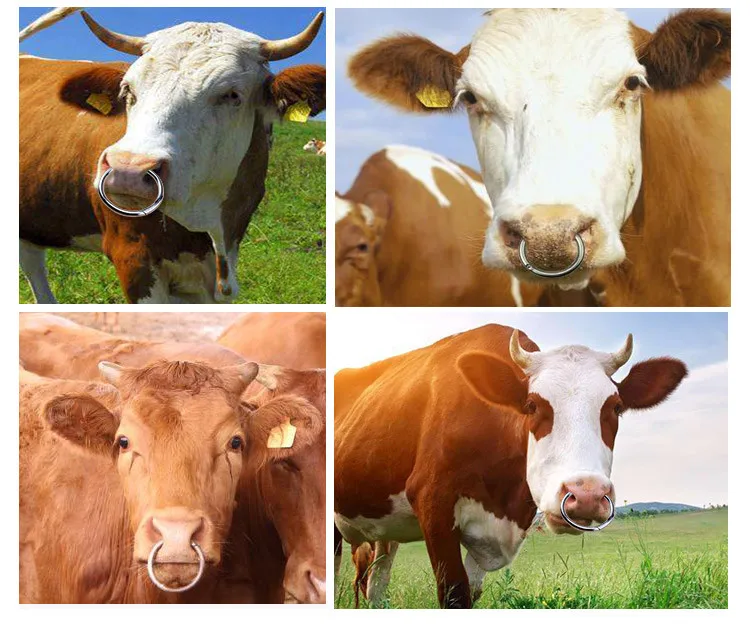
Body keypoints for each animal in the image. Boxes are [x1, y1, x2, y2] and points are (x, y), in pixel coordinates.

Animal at [334, 324, 687, 607]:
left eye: (615, 407)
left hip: (382, 530)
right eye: (532, 405)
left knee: (375, 585)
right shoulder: (433, 503)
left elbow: (472, 592)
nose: (586, 496)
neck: (505, 499)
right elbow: (455, 594)